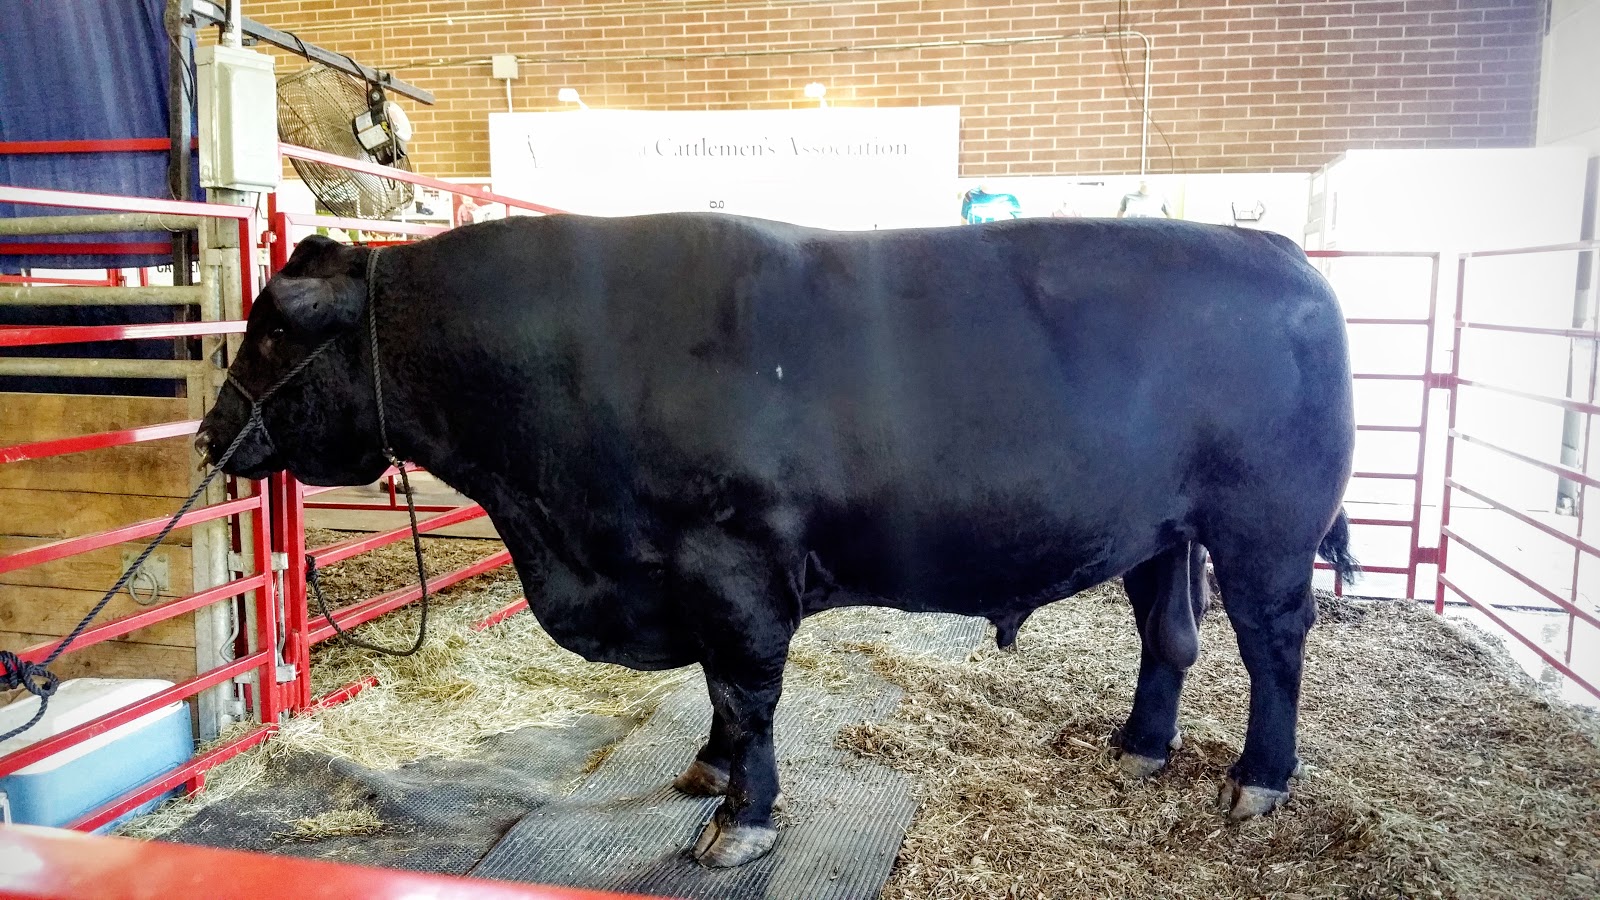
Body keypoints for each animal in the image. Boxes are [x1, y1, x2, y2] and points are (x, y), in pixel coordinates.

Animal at [198, 213, 1357, 868]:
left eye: (272, 328)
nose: (211, 437)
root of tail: (1279, 251)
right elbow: (719, 692)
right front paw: (711, 773)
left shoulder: (734, 562)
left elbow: (747, 687)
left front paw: (741, 818)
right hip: (1165, 531)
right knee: (1171, 638)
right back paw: (1139, 749)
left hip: (1264, 529)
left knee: (1273, 646)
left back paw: (1258, 781)